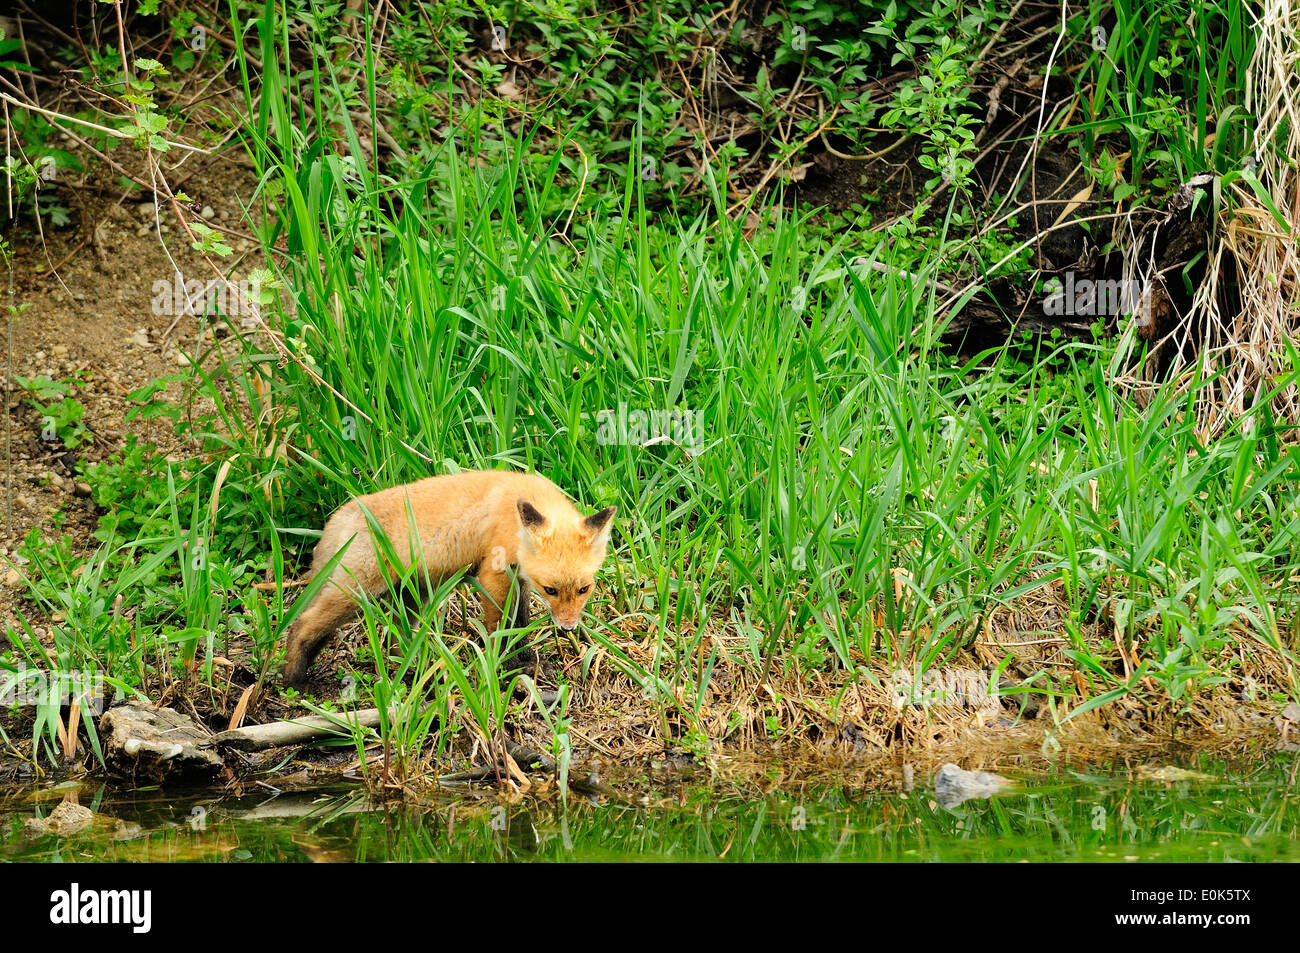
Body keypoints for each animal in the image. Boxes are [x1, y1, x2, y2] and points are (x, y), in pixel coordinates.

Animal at [282, 470, 616, 686]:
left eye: (584, 589)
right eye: (551, 590)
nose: (568, 627)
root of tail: (336, 518)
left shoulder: (519, 580)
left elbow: (519, 624)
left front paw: (527, 658)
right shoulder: (493, 575)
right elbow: (501, 629)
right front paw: (511, 667)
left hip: (409, 597)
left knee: (394, 639)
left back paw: (409, 671)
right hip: (356, 593)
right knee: (302, 624)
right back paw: (293, 681)